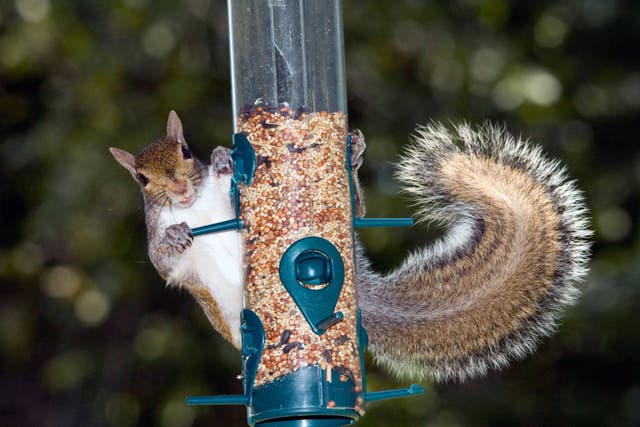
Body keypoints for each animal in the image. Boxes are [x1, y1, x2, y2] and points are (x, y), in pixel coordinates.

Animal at [111, 112, 590, 383]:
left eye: (185, 150)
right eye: (142, 179)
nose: (177, 188)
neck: (197, 205)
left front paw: (224, 158)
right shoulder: (162, 248)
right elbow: (164, 263)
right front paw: (176, 236)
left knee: (356, 204)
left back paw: (354, 155)